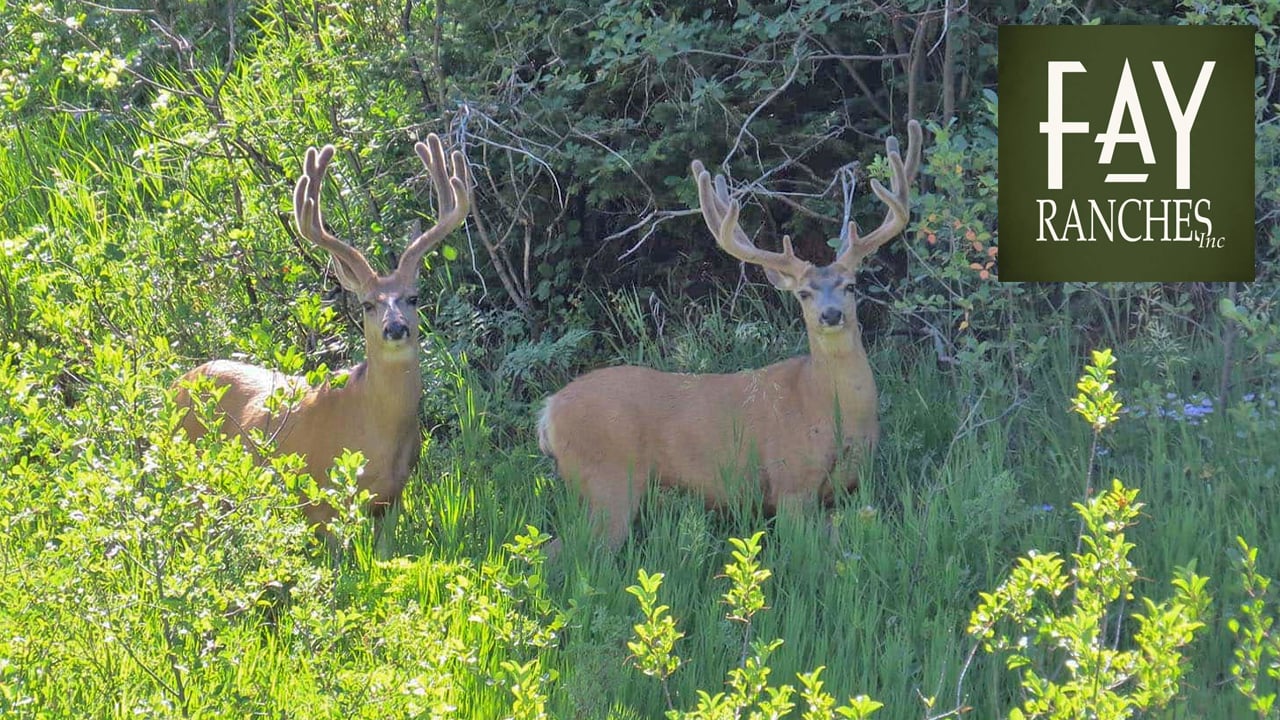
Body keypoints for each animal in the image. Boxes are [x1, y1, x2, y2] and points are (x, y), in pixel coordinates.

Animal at [172, 134, 468, 527]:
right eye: (367, 304)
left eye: (414, 298)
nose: (395, 328)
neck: (374, 426)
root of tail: (176, 383)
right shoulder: (315, 500)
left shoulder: (392, 499)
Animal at [540, 119, 921, 543]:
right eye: (803, 293)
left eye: (850, 285)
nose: (831, 314)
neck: (827, 407)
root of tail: (548, 411)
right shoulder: (790, 482)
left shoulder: (849, 486)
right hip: (607, 480)